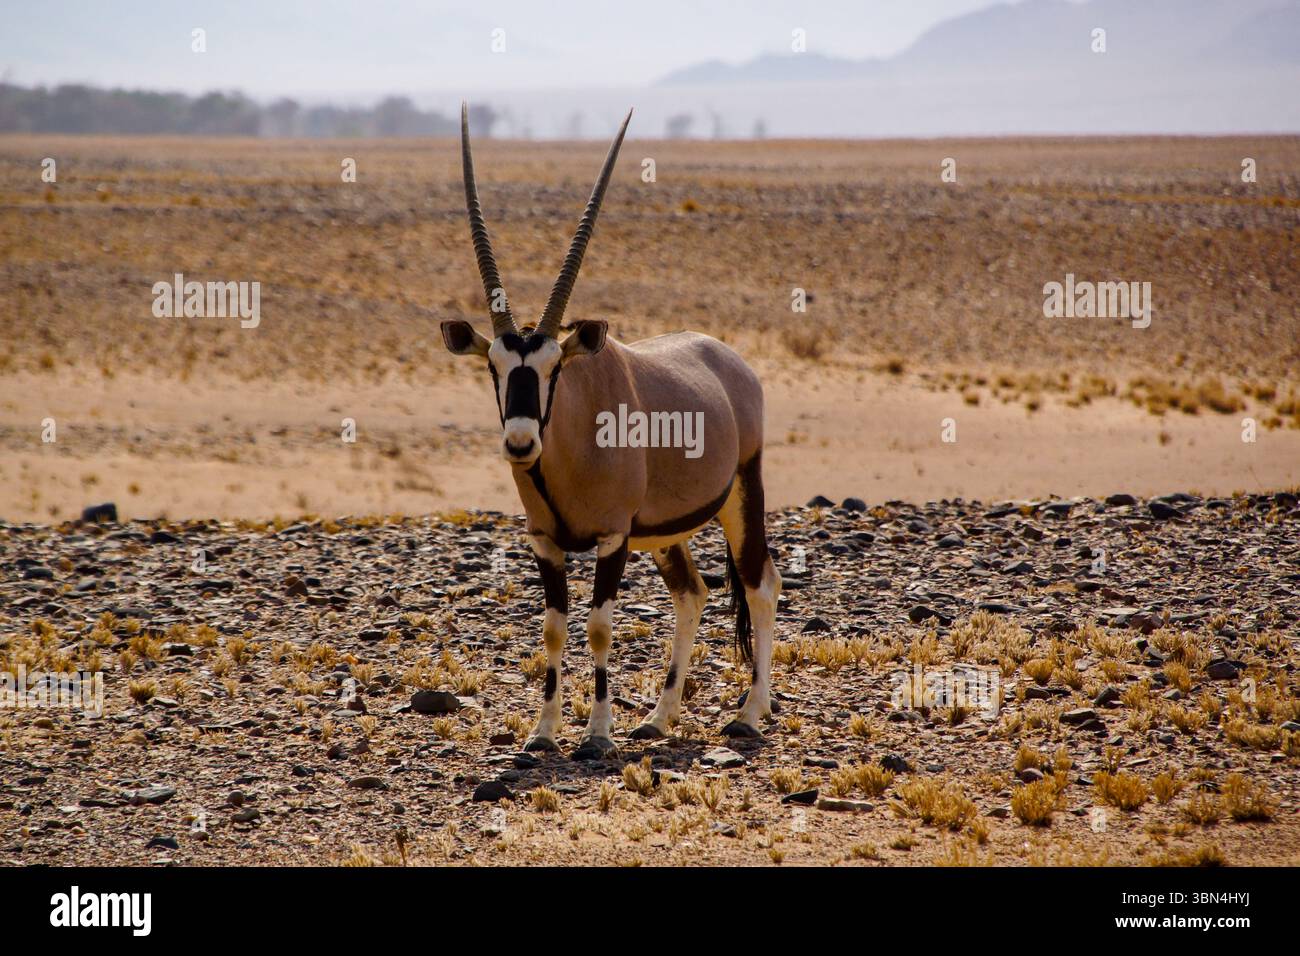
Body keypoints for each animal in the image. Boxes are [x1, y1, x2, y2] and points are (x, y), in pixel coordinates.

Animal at [440, 104, 781, 758]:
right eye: (493, 365)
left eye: (556, 367)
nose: (520, 443)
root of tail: (731, 362)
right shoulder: (545, 541)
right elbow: (553, 629)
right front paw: (542, 732)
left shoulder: (612, 538)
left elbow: (598, 627)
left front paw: (597, 735)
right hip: (666, 533)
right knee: (693, 592)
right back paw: (658, 718)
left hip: (743, 495)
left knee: (760, 585)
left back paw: (750, 715)